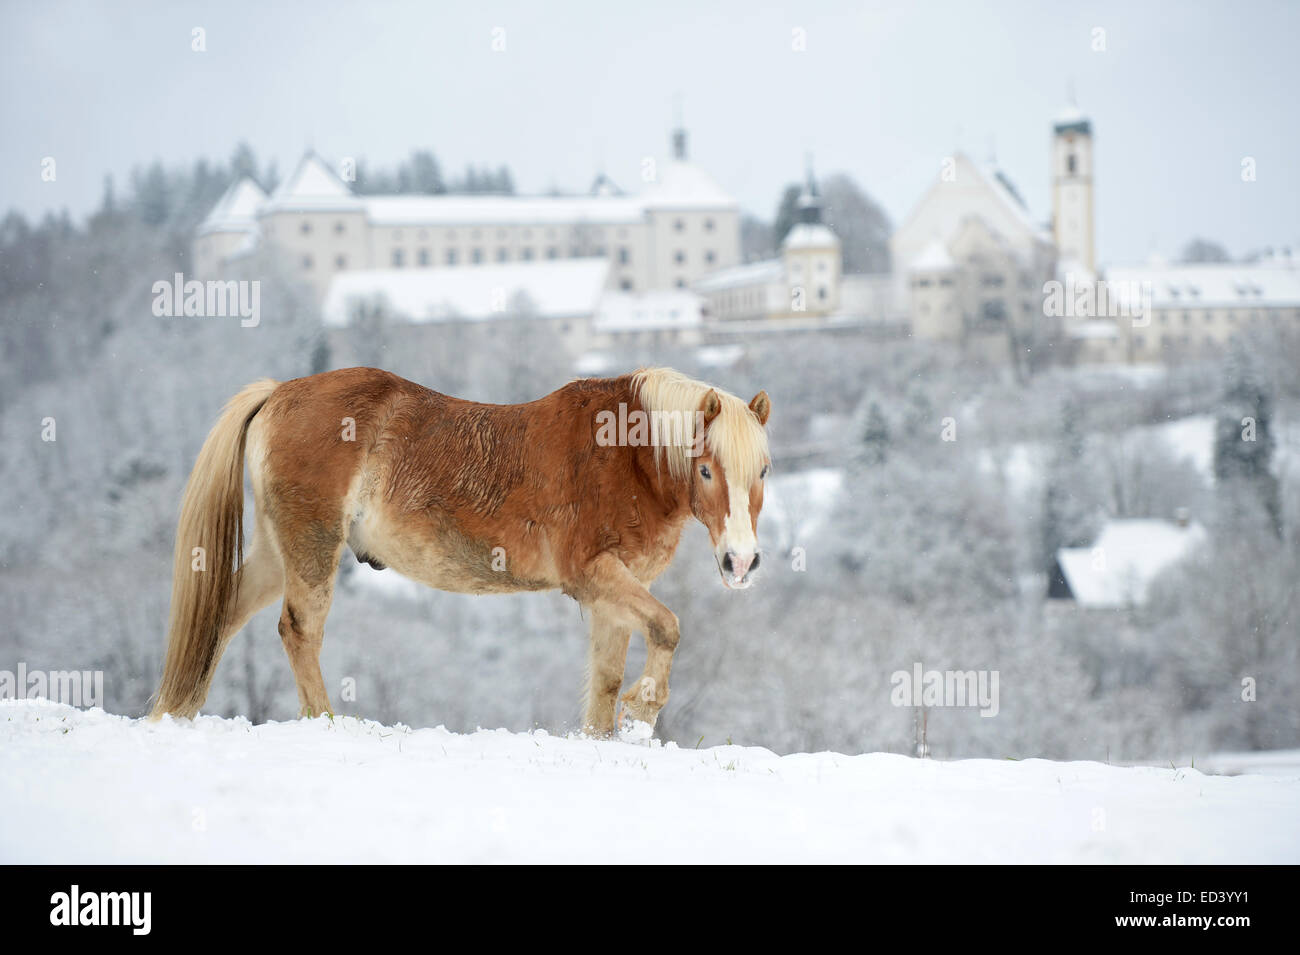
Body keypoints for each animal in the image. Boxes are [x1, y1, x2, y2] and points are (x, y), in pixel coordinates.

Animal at [150, 366, 772, 736]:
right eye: (707, 469)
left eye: (763, 469)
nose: (740, 563)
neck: (623, 455)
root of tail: (277, 393)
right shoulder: (594, 577)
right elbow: (667, 628)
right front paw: (644, 710)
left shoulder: (612, 600)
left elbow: (605, 683)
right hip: (312, 547)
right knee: (298, 631)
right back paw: (326, 722)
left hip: (276, 555)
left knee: (221, 617)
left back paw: (174, 714)